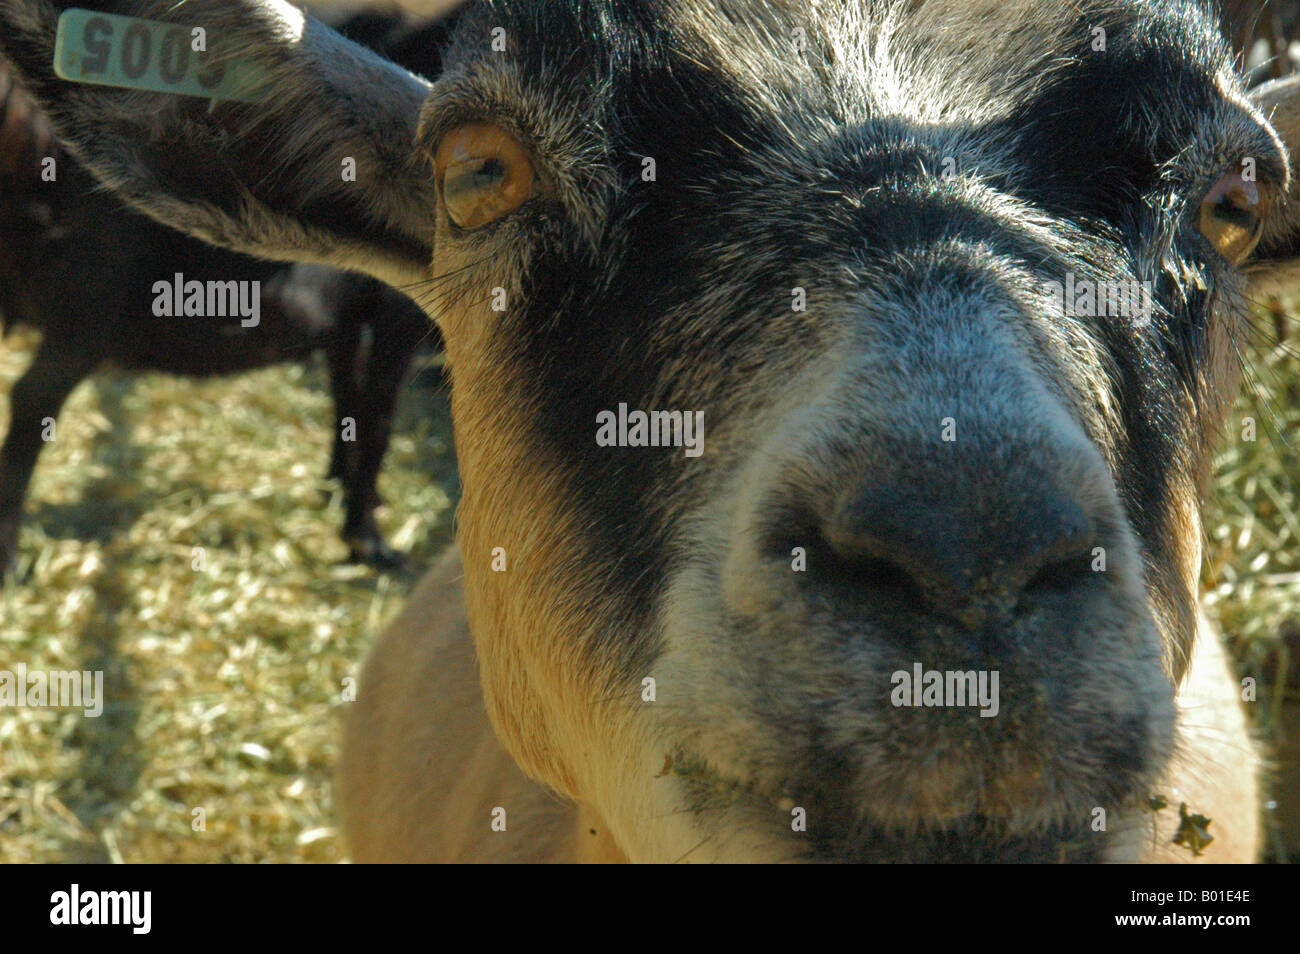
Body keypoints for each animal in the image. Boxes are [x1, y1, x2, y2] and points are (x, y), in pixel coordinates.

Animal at [0, 28, 433, 574]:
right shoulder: (400, 313)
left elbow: (350, 400)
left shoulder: (349, 316)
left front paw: (337, 491)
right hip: (84, 317)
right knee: (31, 402)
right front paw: (370, 543)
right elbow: (377, 422)